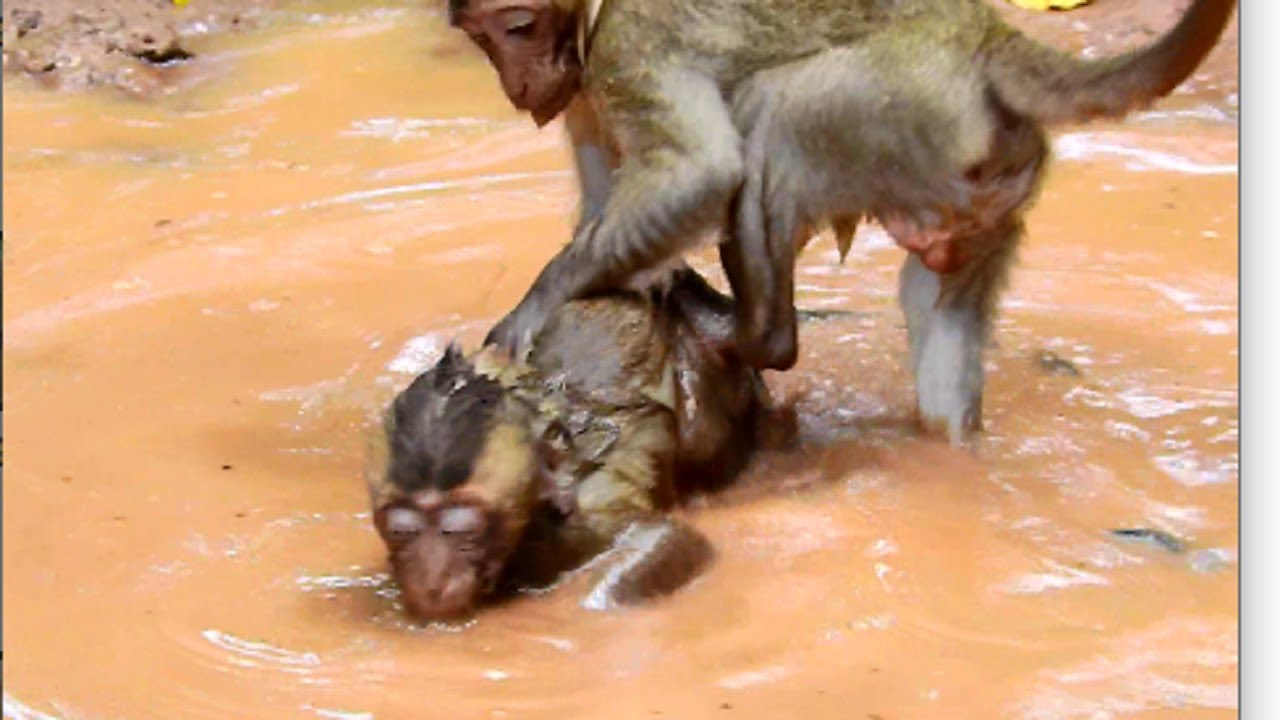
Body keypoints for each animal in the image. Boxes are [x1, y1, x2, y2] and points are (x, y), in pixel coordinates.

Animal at [446, 0, 1235, 443]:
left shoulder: (629, 42)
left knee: (771, 113)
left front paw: (536, 304)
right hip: (991, 174)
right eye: (479, 36)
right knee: (942, 311)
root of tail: (982, 33)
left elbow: (702, 172)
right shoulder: (586, 85)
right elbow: (606, 198)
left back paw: (752, 334)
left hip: (901, 103)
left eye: (519, 26)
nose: (515, 82)